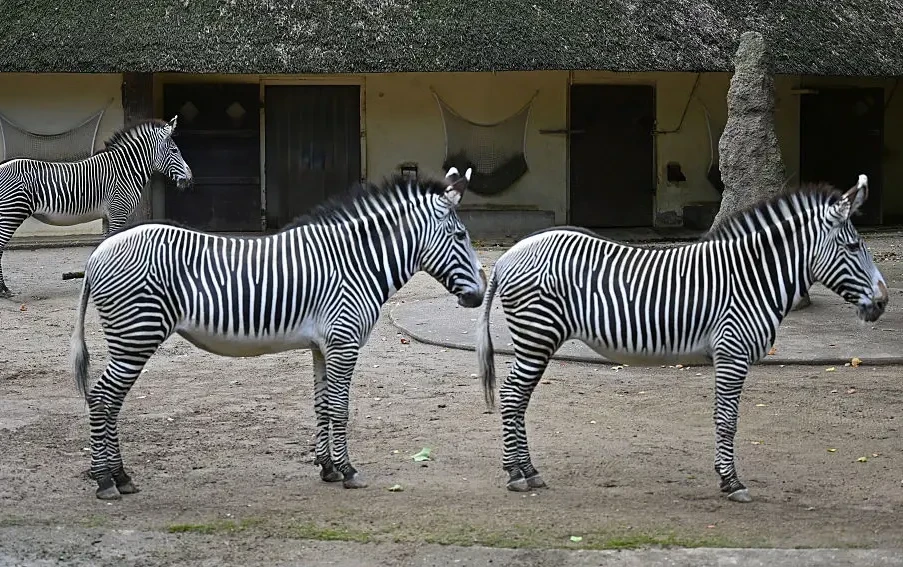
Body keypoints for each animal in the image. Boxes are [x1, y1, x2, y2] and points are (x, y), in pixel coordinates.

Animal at [0, 116, 193, 298]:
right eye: (175, 151)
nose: (190, 179)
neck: (125, 171)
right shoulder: (118, 213)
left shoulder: (108, 217)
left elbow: (105, 246)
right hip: (11, 213)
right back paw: (4, 290)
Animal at [69, 167, 486, 500]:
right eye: (461, 236)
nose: (479, 296)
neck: (357, 263)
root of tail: (98, 253)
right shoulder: (345, 342)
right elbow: (340, 408)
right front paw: (348, 470)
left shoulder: (323, 346)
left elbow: (322, 405)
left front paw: (327, 467)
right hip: (135, 336)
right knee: (103, 398)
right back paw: (106, 480)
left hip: (131, 337)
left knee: (107, 400)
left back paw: (120, 476)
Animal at [476, 174, 887, 503]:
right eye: (853, 247)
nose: (883, 302)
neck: (753, 278)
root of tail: (508, 255)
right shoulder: (732, 352)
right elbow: (727, 419)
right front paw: (732, 482)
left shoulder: (727, 355)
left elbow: (723, 417)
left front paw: (725, 477)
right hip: (537, 334)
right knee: (512, 395)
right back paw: (516, 474)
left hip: (537, 337)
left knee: (519, 398)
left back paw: (528, 471)